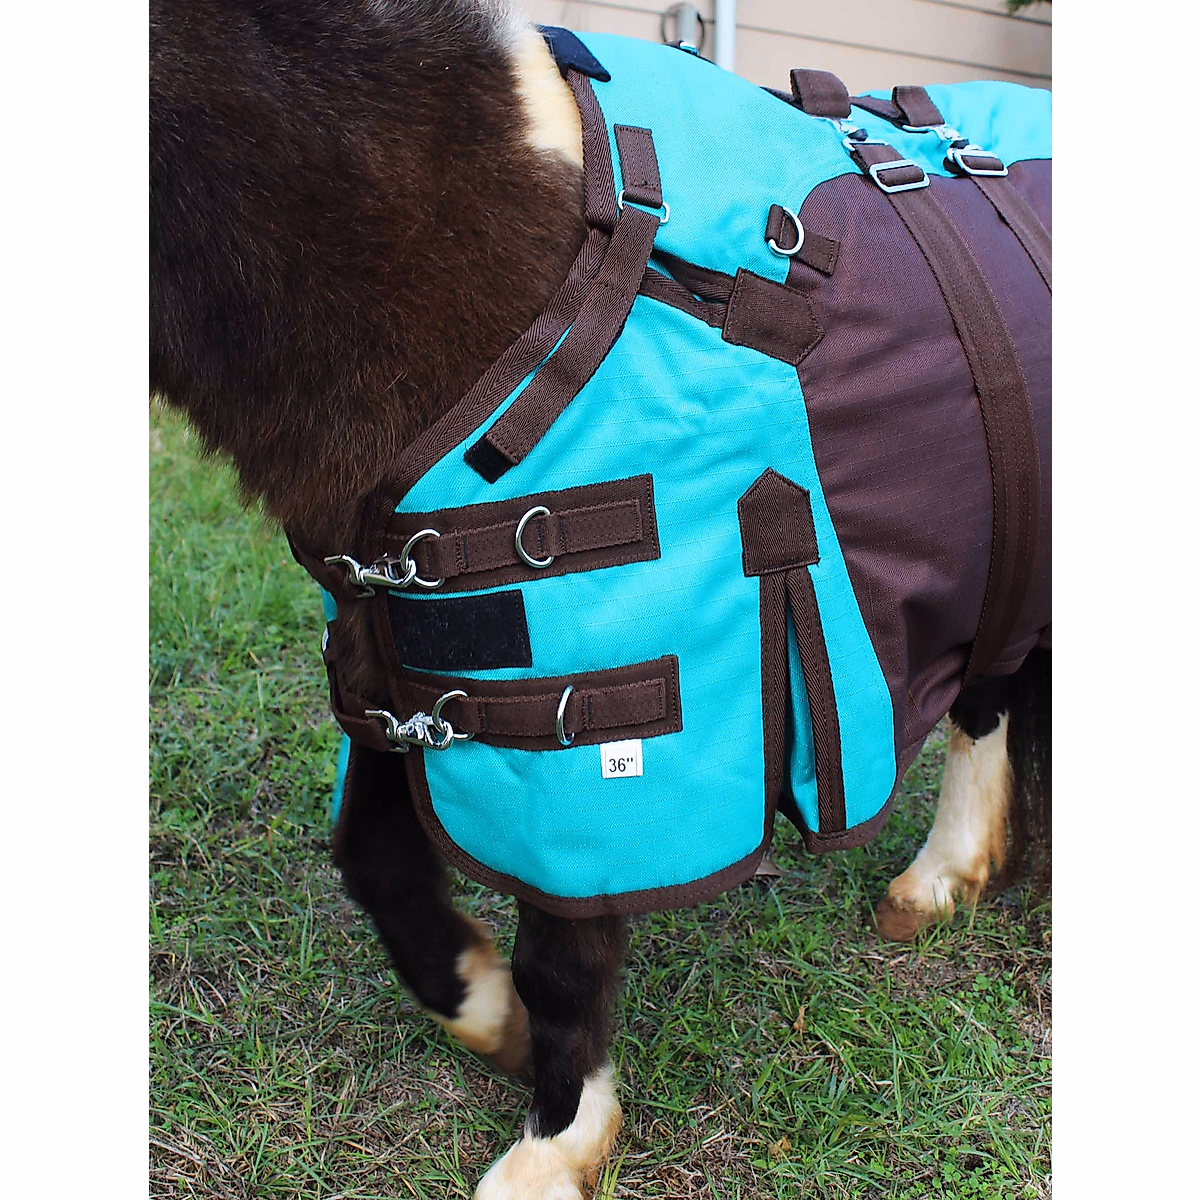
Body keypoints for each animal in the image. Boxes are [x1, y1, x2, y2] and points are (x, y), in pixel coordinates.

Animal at [150, 2, 1050, 1195]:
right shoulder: (404, 658)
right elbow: (377, 861)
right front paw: (490, 1020)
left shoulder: (590, 738)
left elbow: (565, 953)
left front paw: (557, 1138)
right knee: (990, 686)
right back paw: (942, 878)